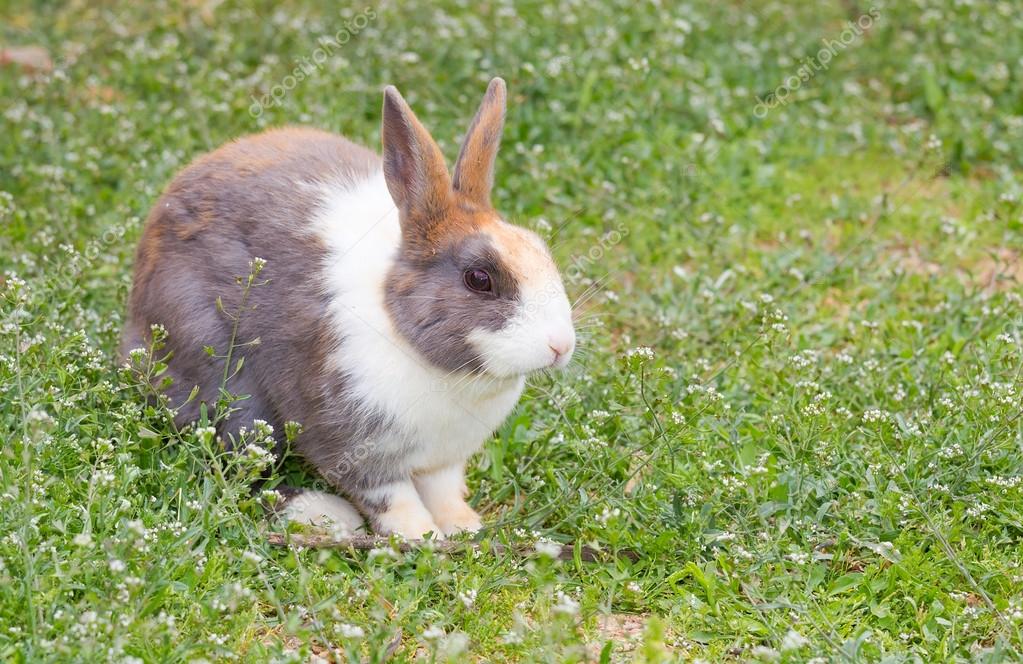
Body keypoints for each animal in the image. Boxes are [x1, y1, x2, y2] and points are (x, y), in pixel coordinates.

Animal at [121, 78, 576, 538]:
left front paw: (463, 527)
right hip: (228, 388)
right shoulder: (357, 448)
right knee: (242, 469)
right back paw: (325, 513)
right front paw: (419, 535)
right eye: (479, 279)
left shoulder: (444, 460)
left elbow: (443, 491)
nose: (561, 346)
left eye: (541, 249)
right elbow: (390, 497)